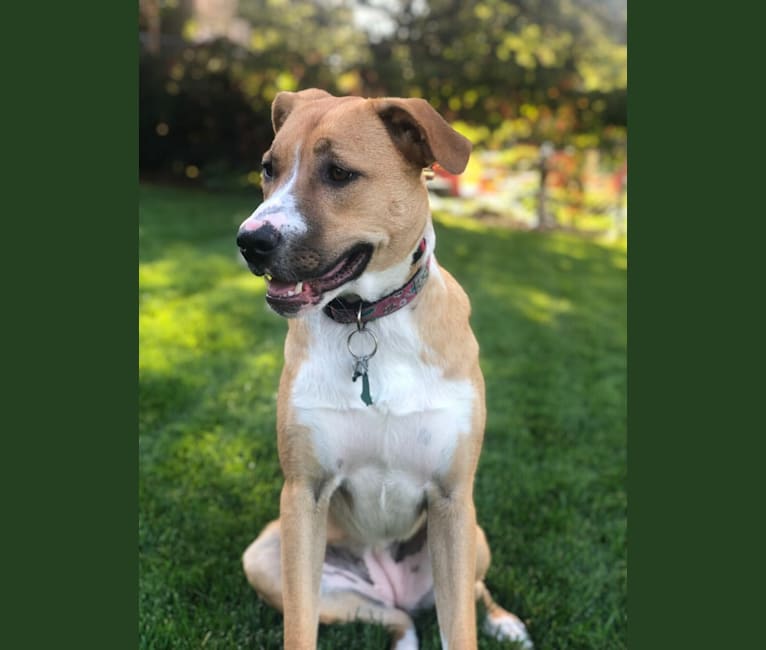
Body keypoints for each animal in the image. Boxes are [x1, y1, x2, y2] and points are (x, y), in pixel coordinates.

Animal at [240, 87, 536, 648]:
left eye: (339, 173)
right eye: (269, 168)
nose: (250, 241)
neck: (368, 320)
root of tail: (394, 587)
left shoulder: (451, 497)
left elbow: (460, 628)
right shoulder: (304, 495)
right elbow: (299, 627)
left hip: (474, 534)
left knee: (470, 591)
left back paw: (505, 622)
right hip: (267, 555)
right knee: (397, 620)